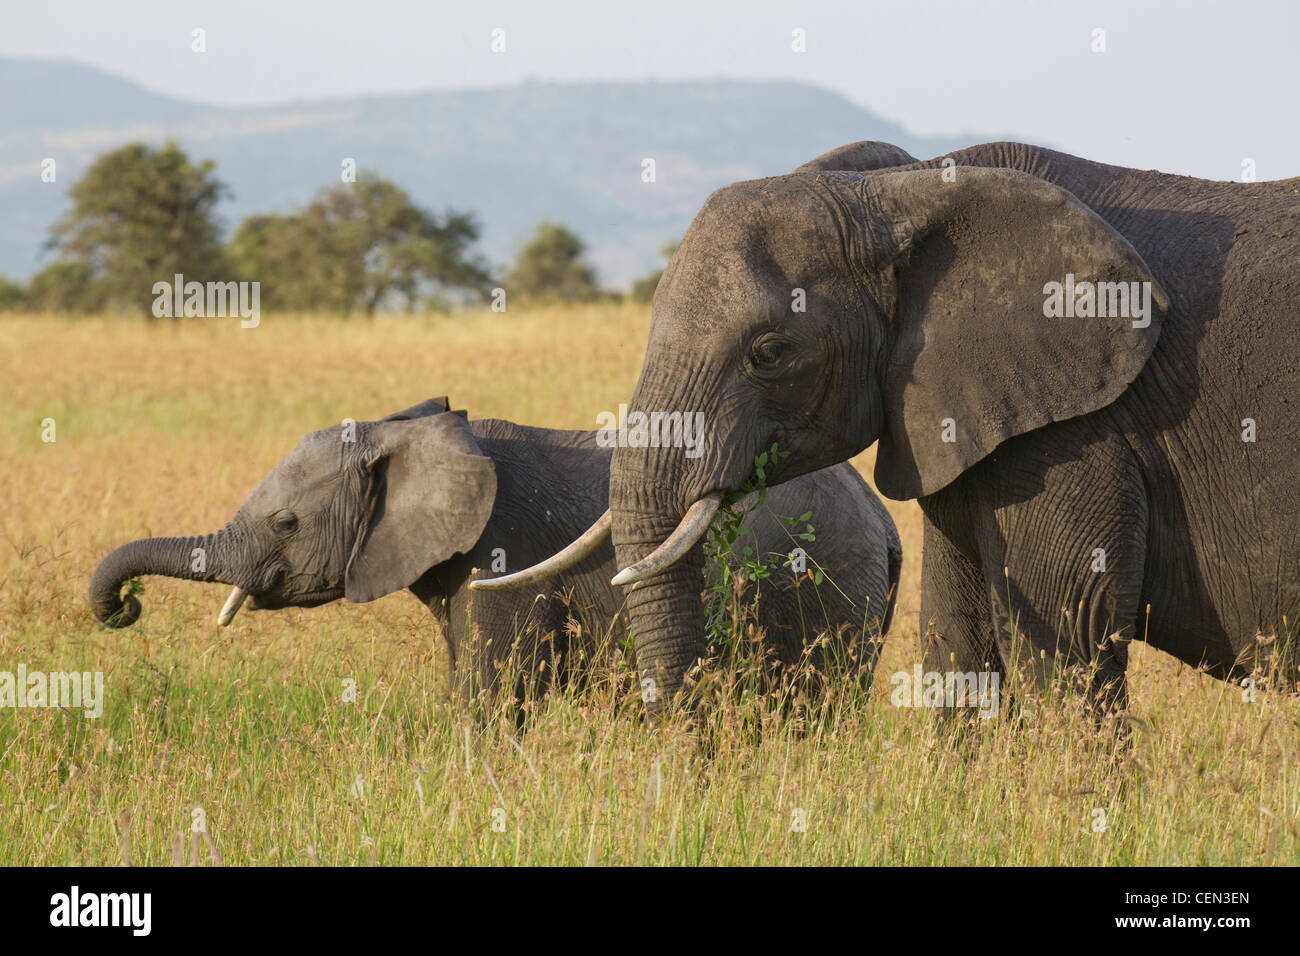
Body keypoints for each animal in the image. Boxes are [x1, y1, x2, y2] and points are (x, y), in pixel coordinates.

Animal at [91, 398, 901, 709]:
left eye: (286, 522)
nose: (123, 607)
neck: (403, 431)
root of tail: (886, 527)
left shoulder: (503, 555)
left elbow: (491, 691)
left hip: (826, 584)